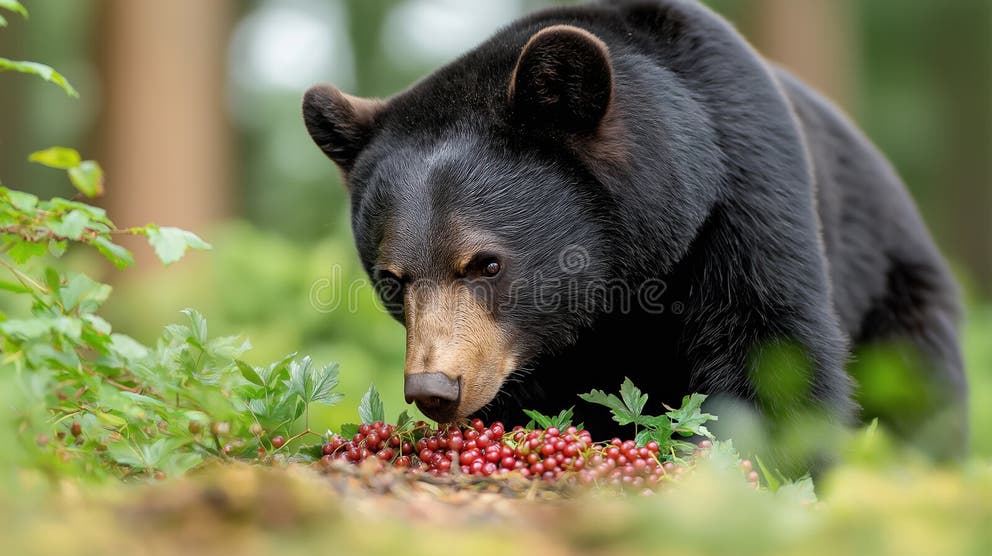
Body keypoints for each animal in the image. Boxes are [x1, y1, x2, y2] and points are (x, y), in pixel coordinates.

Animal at [302, 0, 967, 458]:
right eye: (392, 280)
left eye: (486, 262)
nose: (434, 388)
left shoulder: (743, 197)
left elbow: (771, 353)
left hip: (897, 292)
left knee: (919, 393)